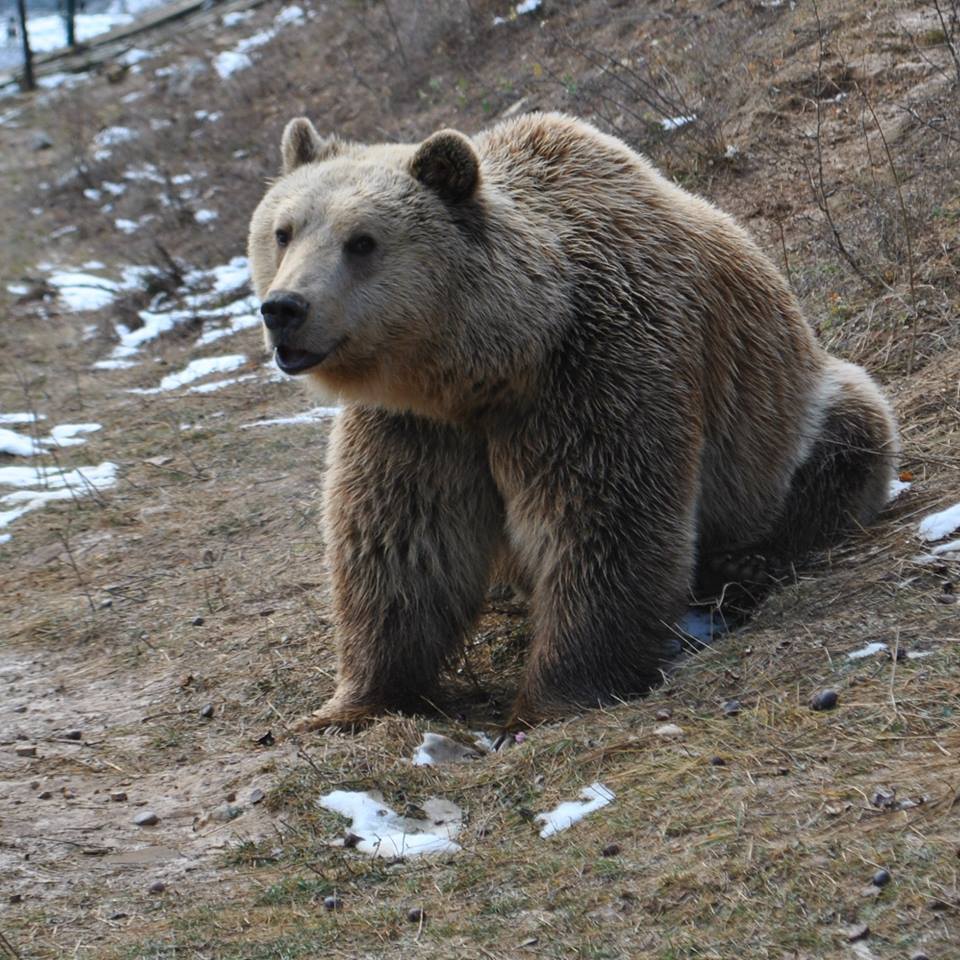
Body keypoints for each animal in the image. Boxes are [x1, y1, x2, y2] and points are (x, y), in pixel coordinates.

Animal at [247, 112, 899, 732]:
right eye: (283, 231)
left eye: (362, 241)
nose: (283, 309)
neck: (490, 366)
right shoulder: (417, 428)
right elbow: (401, 547)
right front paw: (348, 706)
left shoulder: (594, 373)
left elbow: (602, 523)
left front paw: (546, 702)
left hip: (788, 408)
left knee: (846, 440)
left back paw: (750, 559)